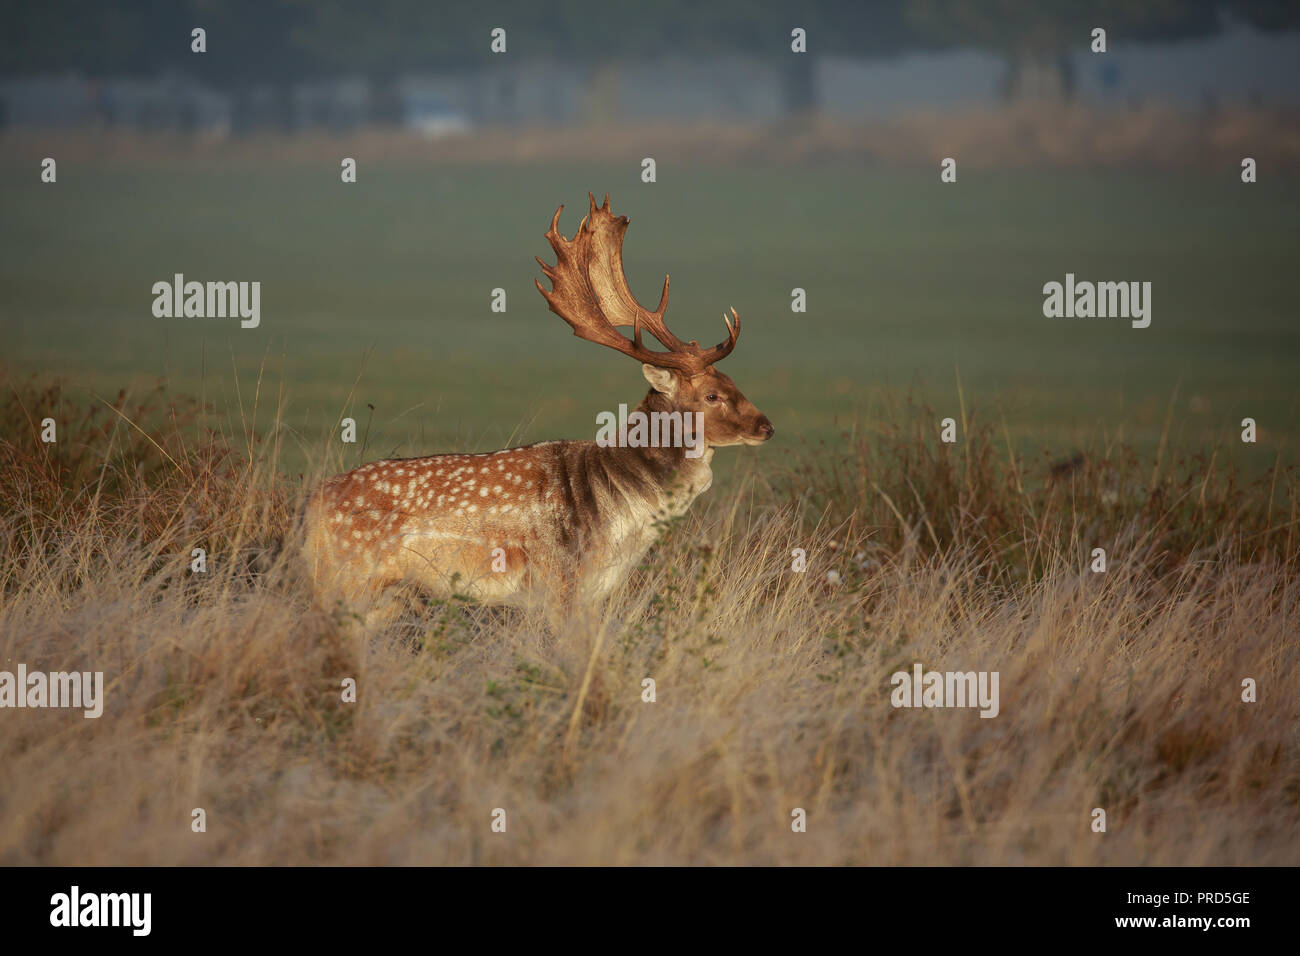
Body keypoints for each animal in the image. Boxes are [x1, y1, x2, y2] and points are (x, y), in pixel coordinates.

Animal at [300, 193, 773, 627]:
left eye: (733, 382)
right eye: (711, 395)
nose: (766, 426)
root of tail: (309, 509)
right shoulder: (560, 584)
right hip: (343, 581)